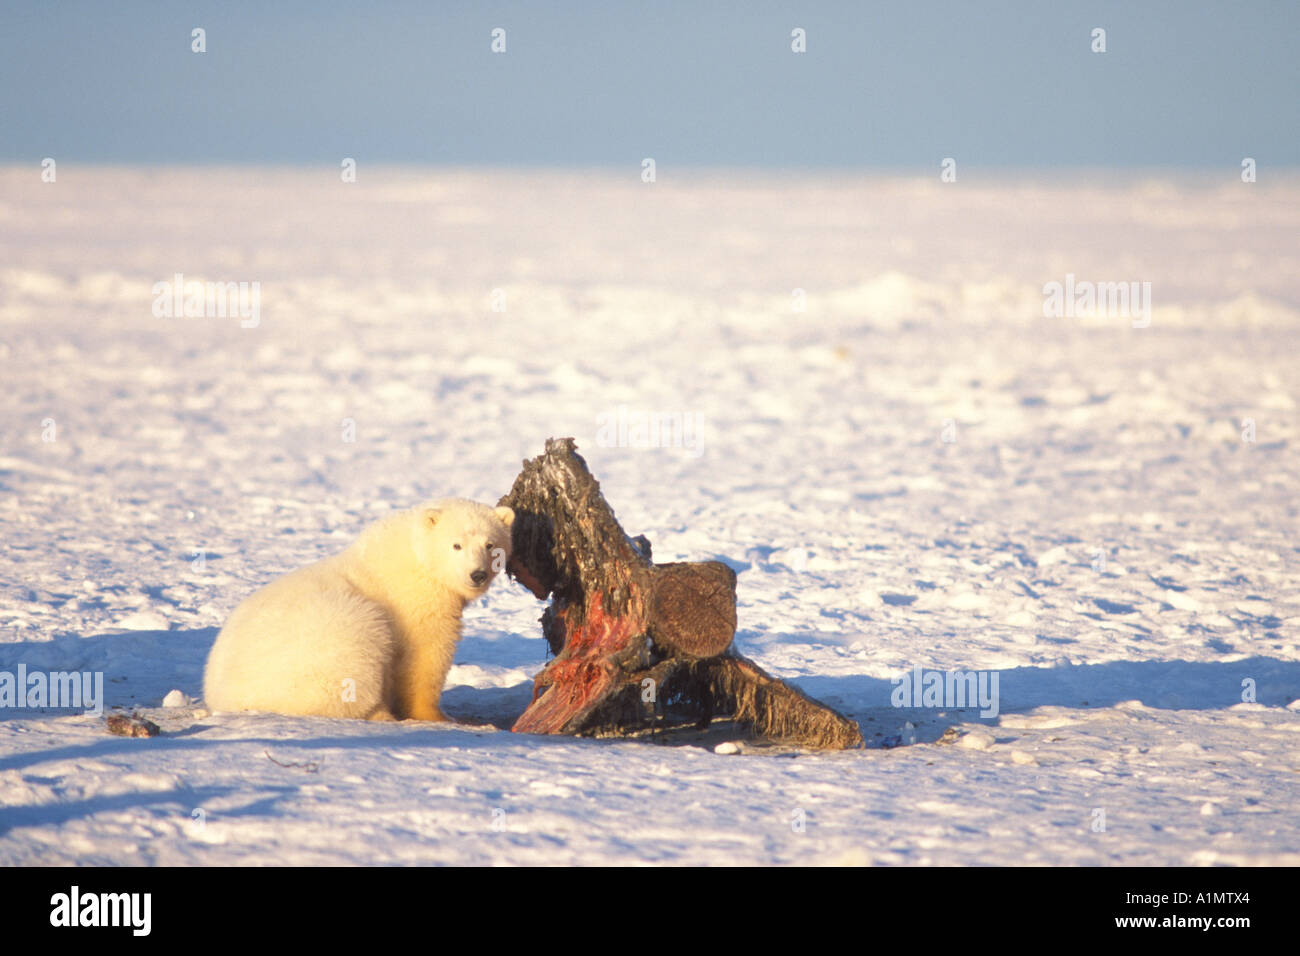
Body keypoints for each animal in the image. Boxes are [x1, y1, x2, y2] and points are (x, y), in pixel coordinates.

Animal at [203, 498, 514, 722]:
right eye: (456, 545)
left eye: (490, 544)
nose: (477, 575)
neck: (416, 557)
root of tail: (222, 695)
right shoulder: (416, 601)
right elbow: (425, 656)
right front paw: (437, 716)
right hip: (333, 632)